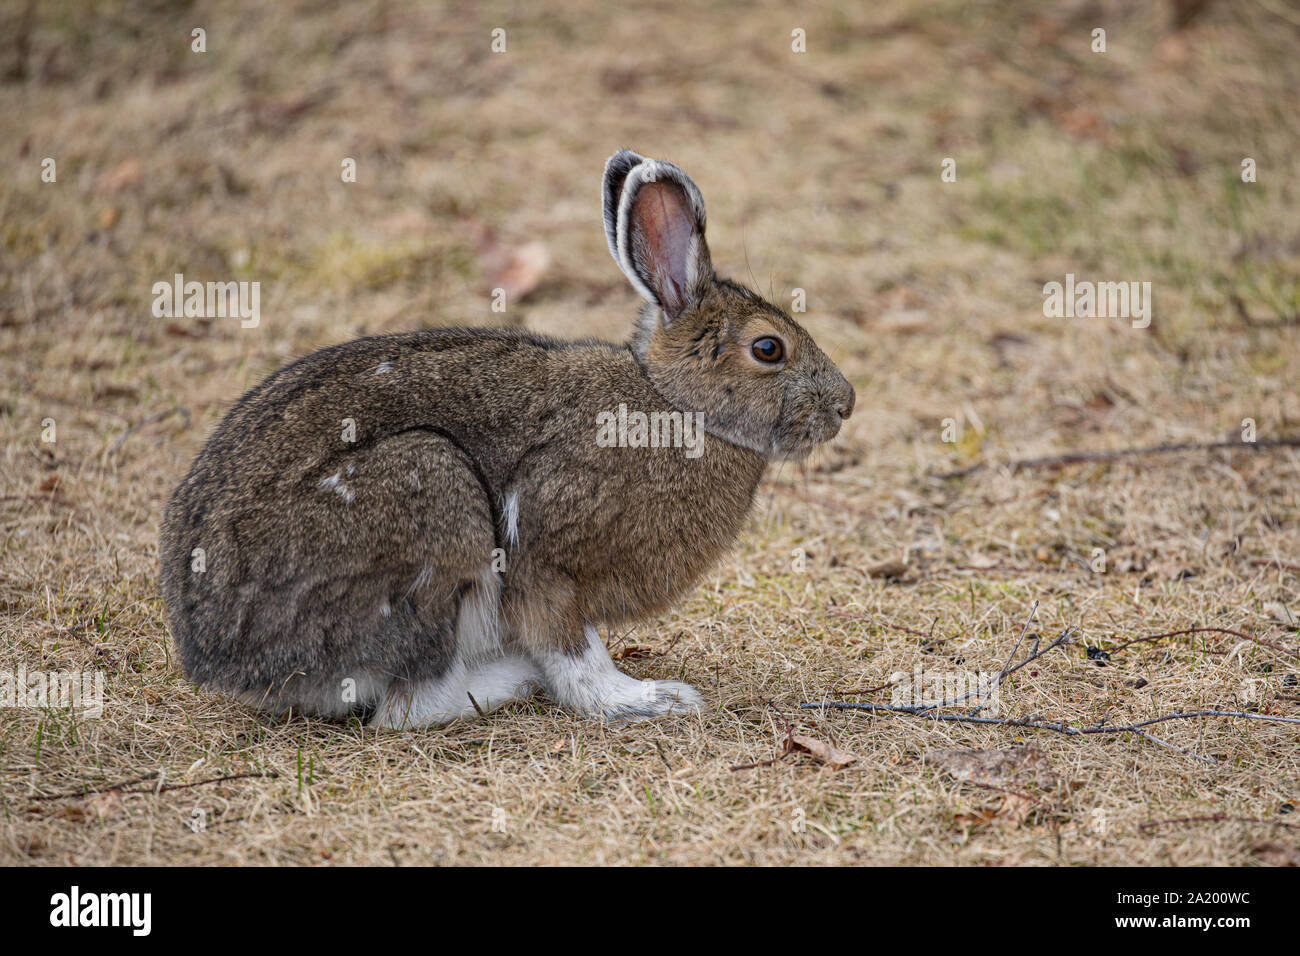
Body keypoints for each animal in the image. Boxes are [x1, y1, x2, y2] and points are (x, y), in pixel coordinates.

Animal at [159, 149, 855, 728]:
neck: (673, 404)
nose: (846, 405)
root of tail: (219, 656)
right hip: (435, 492)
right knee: (404, 707)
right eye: (768, 348)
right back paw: (512, 680)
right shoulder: (543, 560)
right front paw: (648, 700)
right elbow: (575, 654)